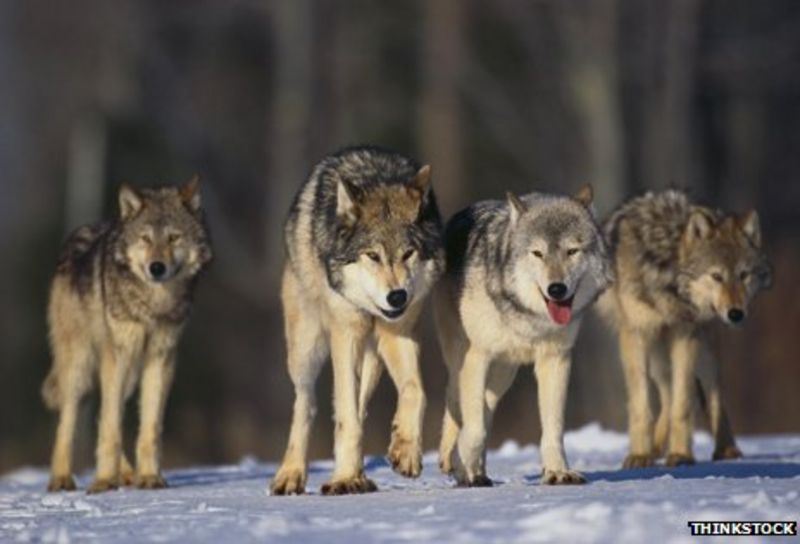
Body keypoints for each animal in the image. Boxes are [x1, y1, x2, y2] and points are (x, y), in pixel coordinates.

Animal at [42, 177, 212, 493]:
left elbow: (148, 428)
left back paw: (128, 474)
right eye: (145, 239)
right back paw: (61, 479)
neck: (153, 304)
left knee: (106, 413)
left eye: (173, 238)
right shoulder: (117, 356)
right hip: (81, 366)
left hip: (130, 372)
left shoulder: (161, 358)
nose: (156, 267)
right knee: (69, 420)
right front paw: (103, 482)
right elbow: (110, 427)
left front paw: (149, 477)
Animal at [270, 146, 443, 496]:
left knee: (358, 405)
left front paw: (405, 450)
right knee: (307, 402)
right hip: (306, 348)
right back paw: (291, 475)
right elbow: (346, 417)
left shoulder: (397, 332)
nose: (397, 297)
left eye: (408, 253)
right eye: (372, 255)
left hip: (373, 354)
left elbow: (416, 390)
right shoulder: (346, 333)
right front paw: (345, 478)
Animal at [435, 185, 612, 486]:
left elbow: (553, 428)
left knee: (486, 408)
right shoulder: (477, 357)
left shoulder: (556, 360)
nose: (556, 289)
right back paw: (454, 461)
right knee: (455, 400)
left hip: (504, 373)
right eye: (537, 253)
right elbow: (474, 428)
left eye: (572, 251)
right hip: (463, 357)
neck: (528, 315)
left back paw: (478, 472)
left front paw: (558, 472)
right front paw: (460, 463)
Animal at [599, 190, 772, 468]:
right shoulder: (636, 334)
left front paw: (680, 454)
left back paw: (726, 449)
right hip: (657, 353)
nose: (736, 314)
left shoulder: (687, 334)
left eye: (744, 275)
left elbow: (683, 404)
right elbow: (642, 406)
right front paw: (640, 455)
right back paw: (655, 448)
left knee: (712, 396)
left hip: (703, 350)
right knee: (667, 396)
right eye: (716, 276)